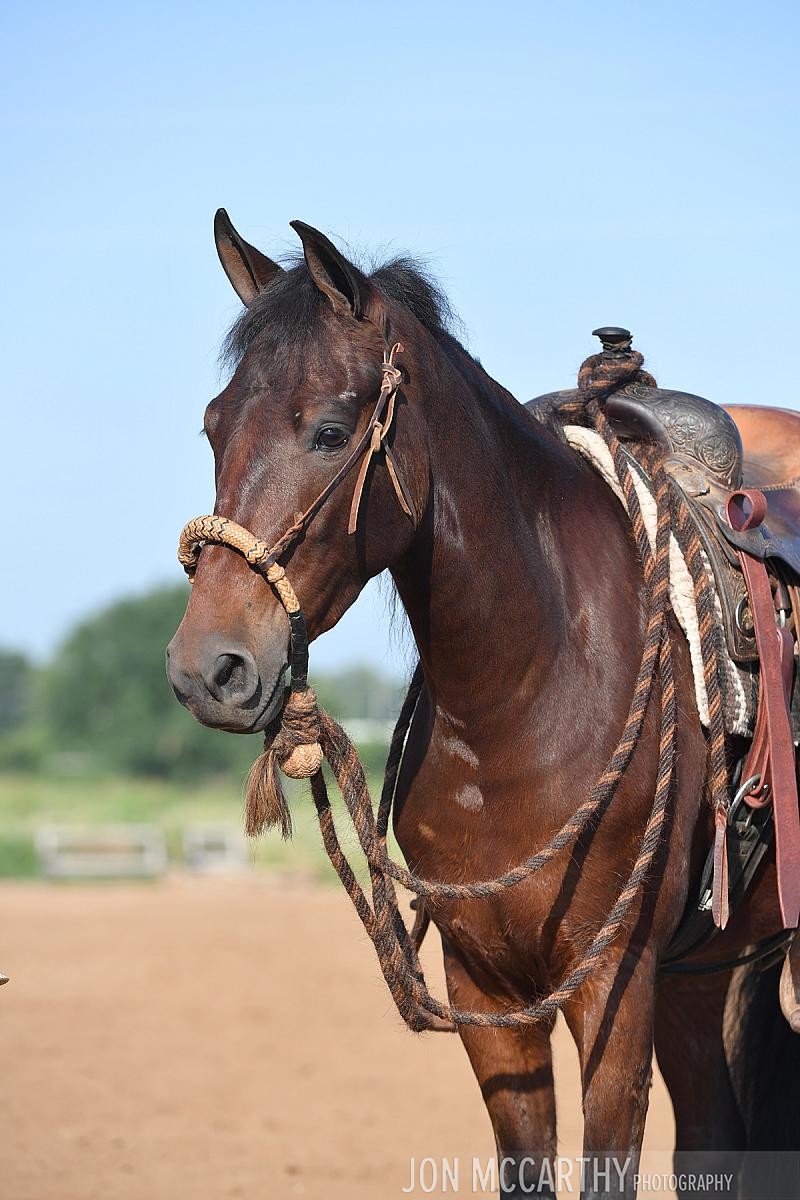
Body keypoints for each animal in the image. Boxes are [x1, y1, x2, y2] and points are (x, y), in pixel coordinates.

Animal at [166, 213, 799, 1198]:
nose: (210, 668)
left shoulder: (614, 986)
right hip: (705, 969)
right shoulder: (488, 994)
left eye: (331, 430)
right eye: (212, 427)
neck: (525, 697)